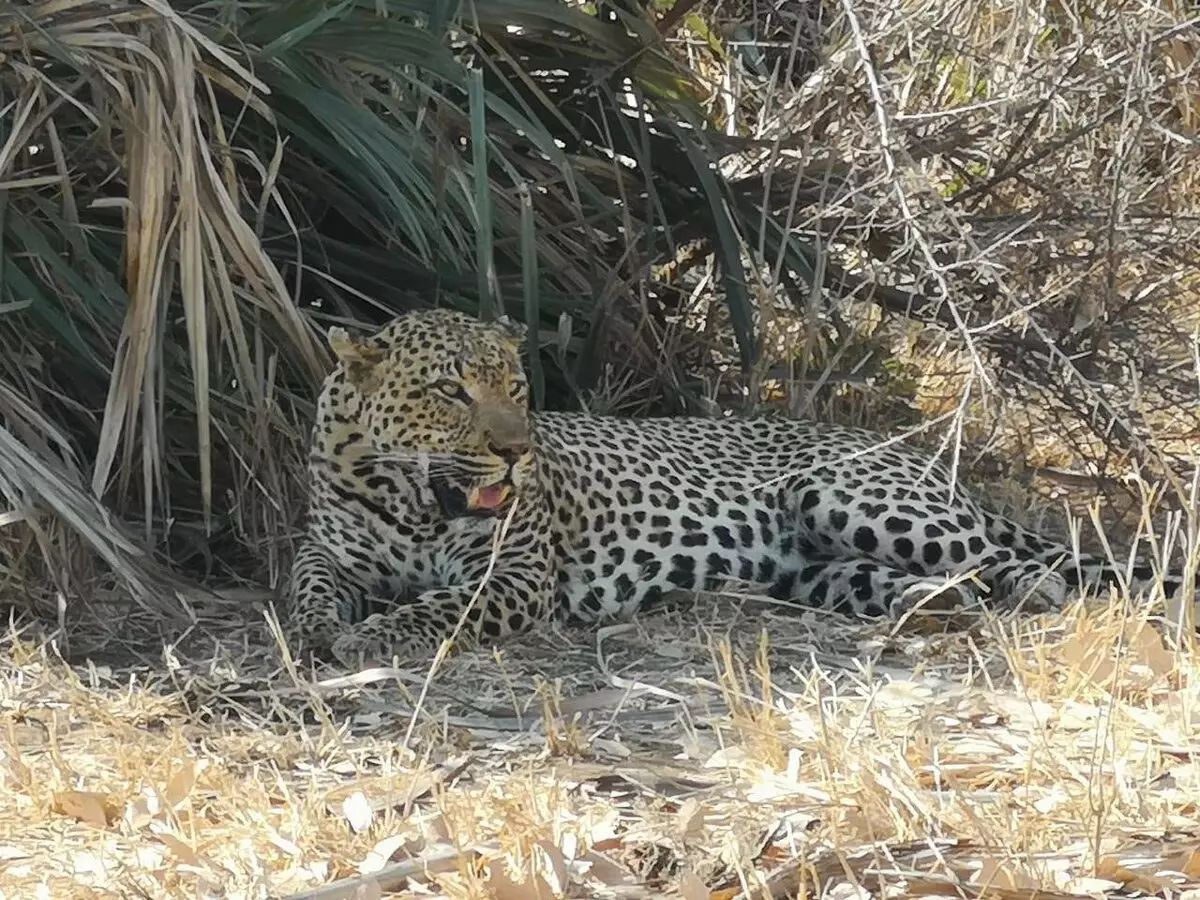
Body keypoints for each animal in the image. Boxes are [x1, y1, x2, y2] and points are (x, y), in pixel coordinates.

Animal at [285, 307, 1185, 667]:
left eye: (514, 386)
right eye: (450, 392)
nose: (516, 453)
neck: (408, 500)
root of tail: (930, 464)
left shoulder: (513, 573)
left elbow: (443, 606)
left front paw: (373, 638)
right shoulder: (325, 550)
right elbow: (307, 588)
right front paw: (317, 630)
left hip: (846, 494)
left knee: (1020, 562)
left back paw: (1029, 592)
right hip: (814, 569)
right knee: (922, 581)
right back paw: (923, 605)